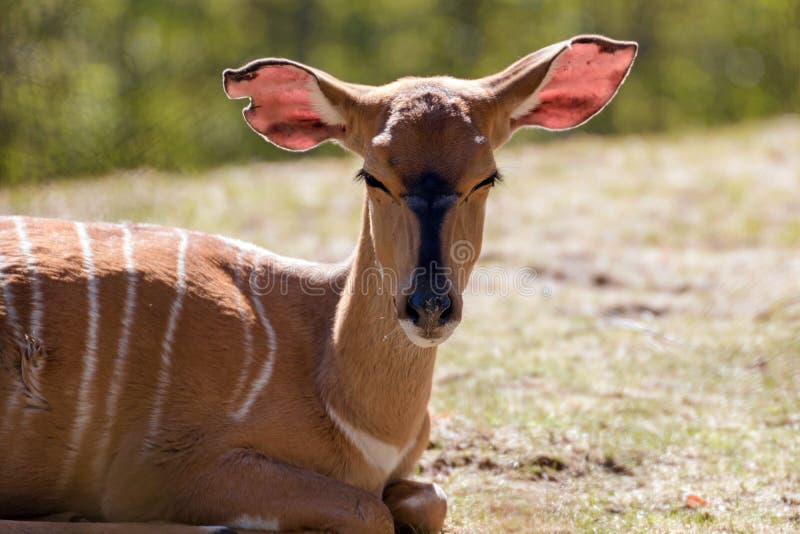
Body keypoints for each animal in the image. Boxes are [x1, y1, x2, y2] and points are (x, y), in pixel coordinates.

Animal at [0, 35, 636, 533]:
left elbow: (428, 499)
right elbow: (369, 512)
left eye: (487, 178)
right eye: (372, 176)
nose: (429, 308)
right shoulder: (170, 473)